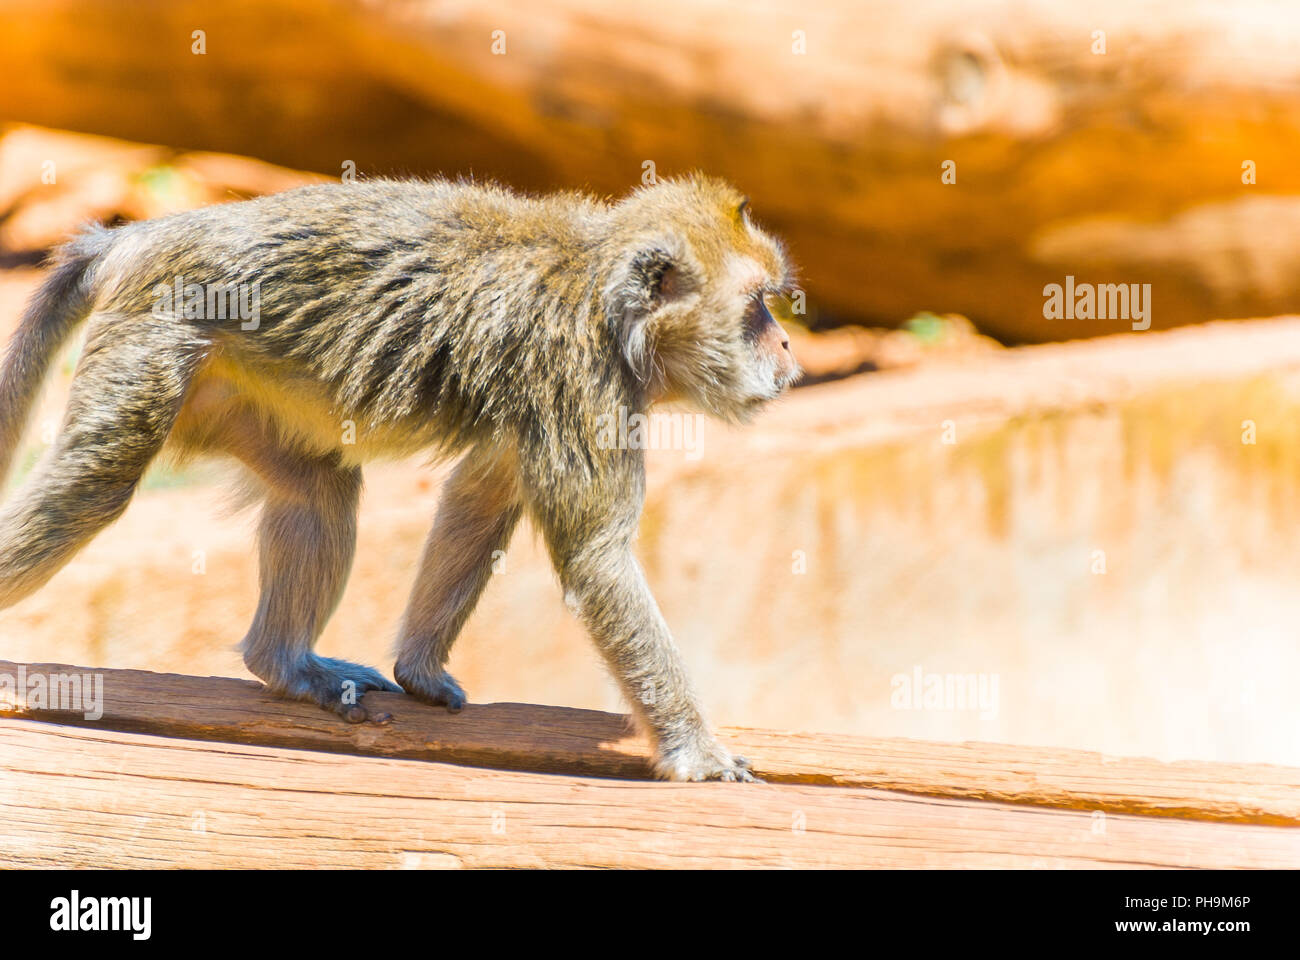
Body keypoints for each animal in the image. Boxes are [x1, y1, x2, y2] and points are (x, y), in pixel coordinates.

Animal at [0, 174, 800, 782]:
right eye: (758, 306)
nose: (791, 346)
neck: (606, 300)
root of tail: (141, 237)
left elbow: (481, 494)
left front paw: (419, 669)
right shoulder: (581, 380)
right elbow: (596, 557)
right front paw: (695, 752)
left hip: (224, 388)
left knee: (319, 489)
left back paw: (283, 665)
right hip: (158, 334)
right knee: (93, 486)